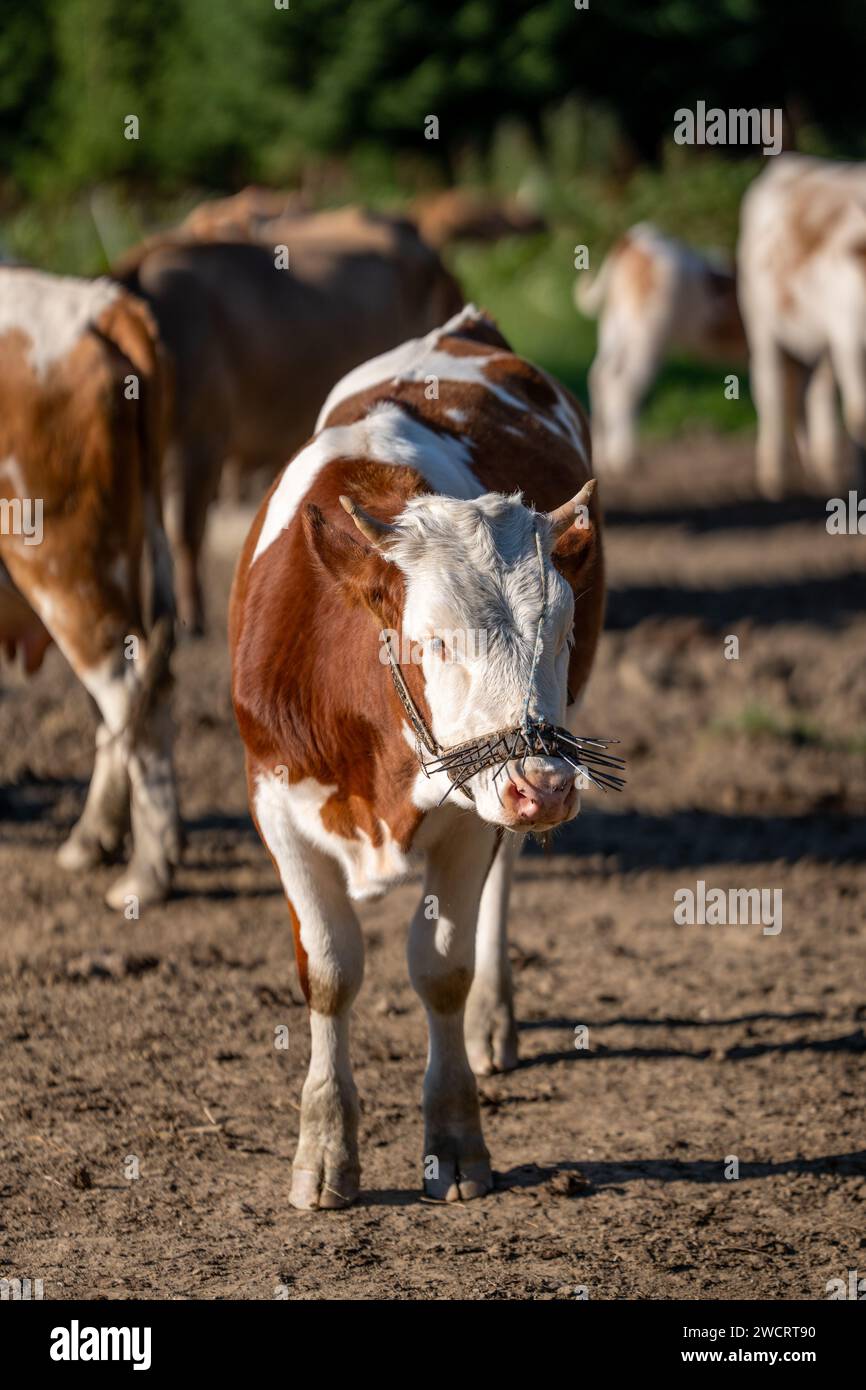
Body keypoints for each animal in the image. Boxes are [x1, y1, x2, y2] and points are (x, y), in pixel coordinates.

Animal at [229, 305, 615, 1208]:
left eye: (563, 632)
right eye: (434, 641)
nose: (545, 788)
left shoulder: (470, 822)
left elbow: (441, 969)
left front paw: (456, 1141)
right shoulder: (275, 805)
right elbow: (330, 969)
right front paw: (325, 1151)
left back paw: (492, 1022)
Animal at [575, 223, 749, 474]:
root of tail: (638, 236)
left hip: (615, 330)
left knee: (600, 377)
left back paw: (601, 457)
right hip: (648, 335)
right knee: (623, 385)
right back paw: (625, 458)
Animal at [738, 153, 866, 498]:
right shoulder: (850, 336)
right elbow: (859, 414)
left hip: (820, 340)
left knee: (817, 393)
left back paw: (828, 472)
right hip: (762, 325)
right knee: (770, 391)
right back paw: (773, 479)